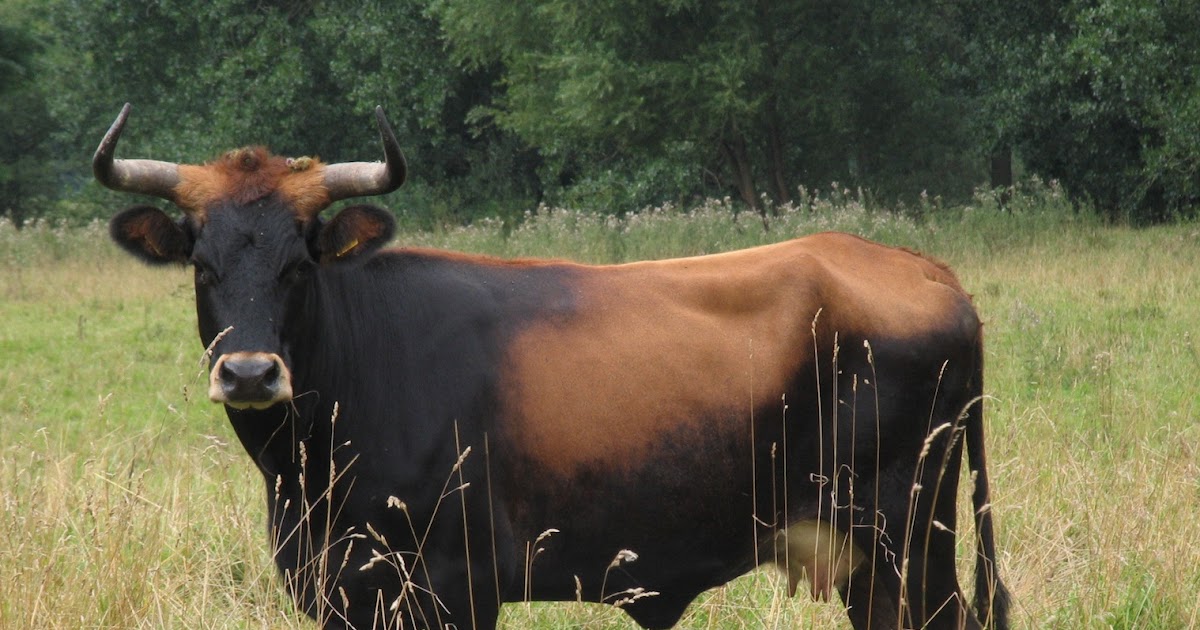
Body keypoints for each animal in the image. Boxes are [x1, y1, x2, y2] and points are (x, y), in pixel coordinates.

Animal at [94, 103, 1009, 630]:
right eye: (203, 265)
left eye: (298, 266)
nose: (250, 375)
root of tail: (927, 270)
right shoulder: (342, 590)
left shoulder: (452, 584)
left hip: (905, 539)